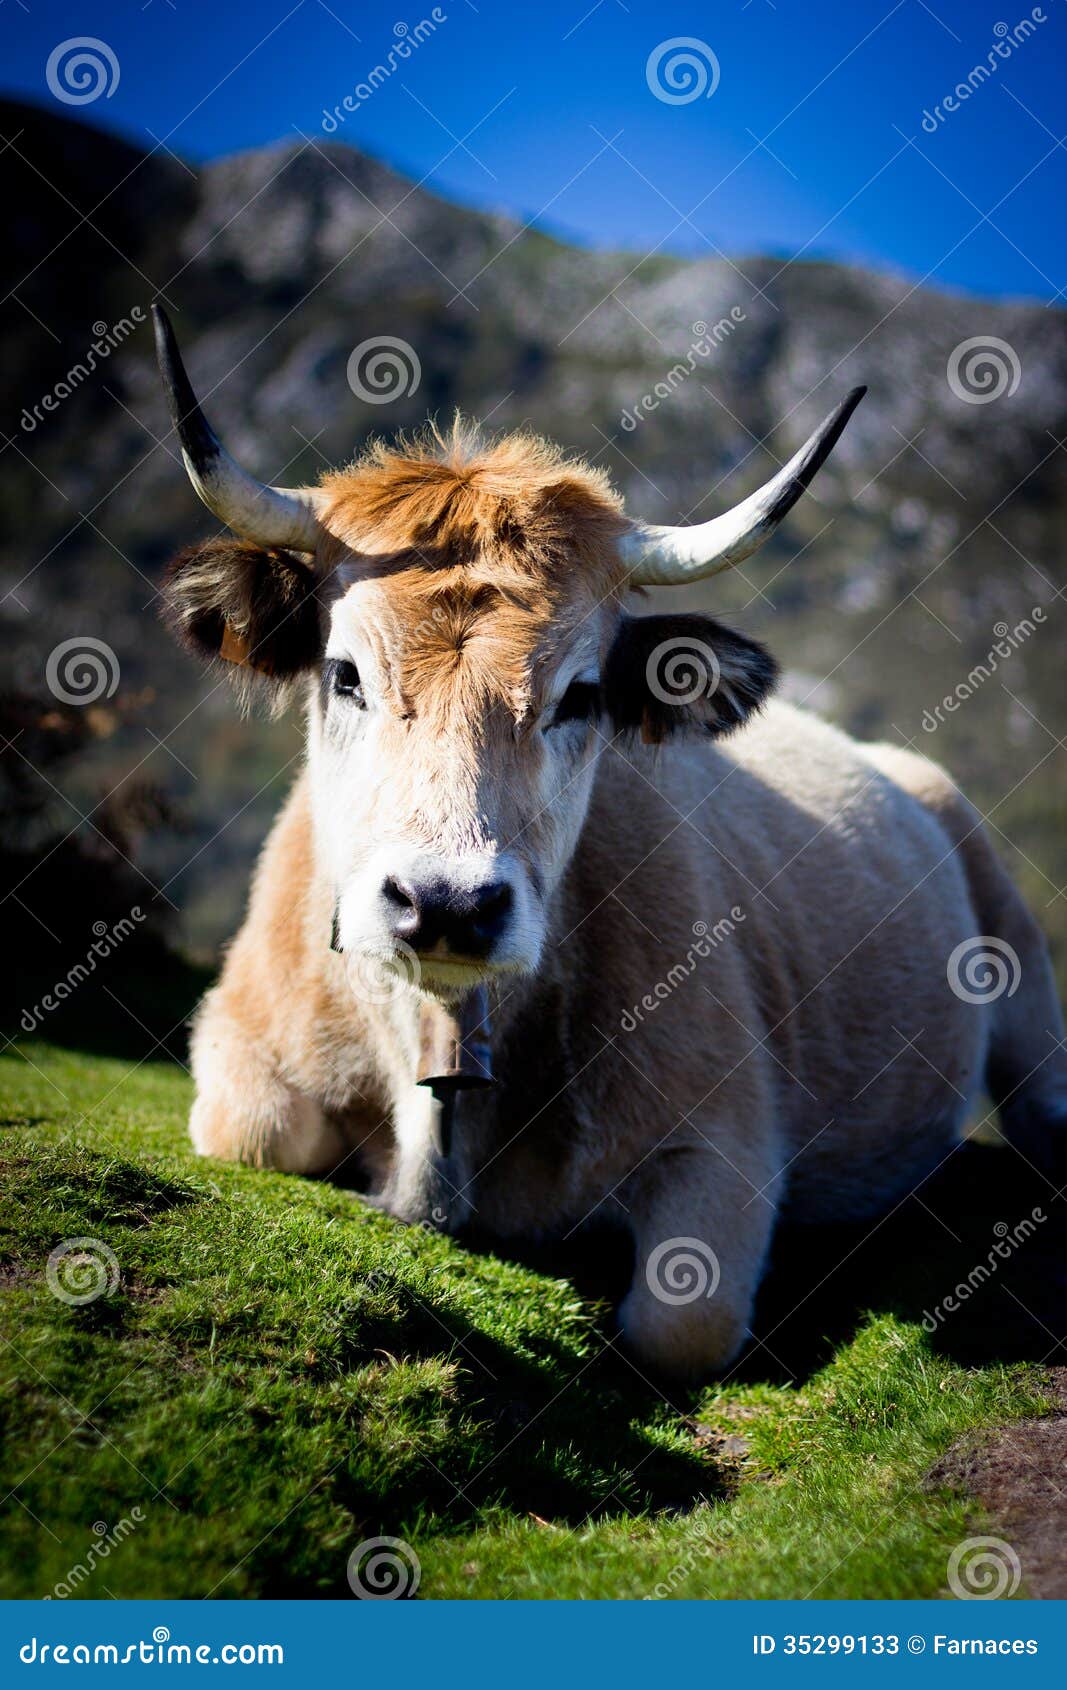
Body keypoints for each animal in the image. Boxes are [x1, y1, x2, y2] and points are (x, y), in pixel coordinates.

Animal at [151, 304, 1067, 1379]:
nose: (446, 904)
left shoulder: (724, 1136)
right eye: (344, 674)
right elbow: (258, 1130)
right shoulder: (238, 1039)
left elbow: (682, 1322)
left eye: (580, 695)